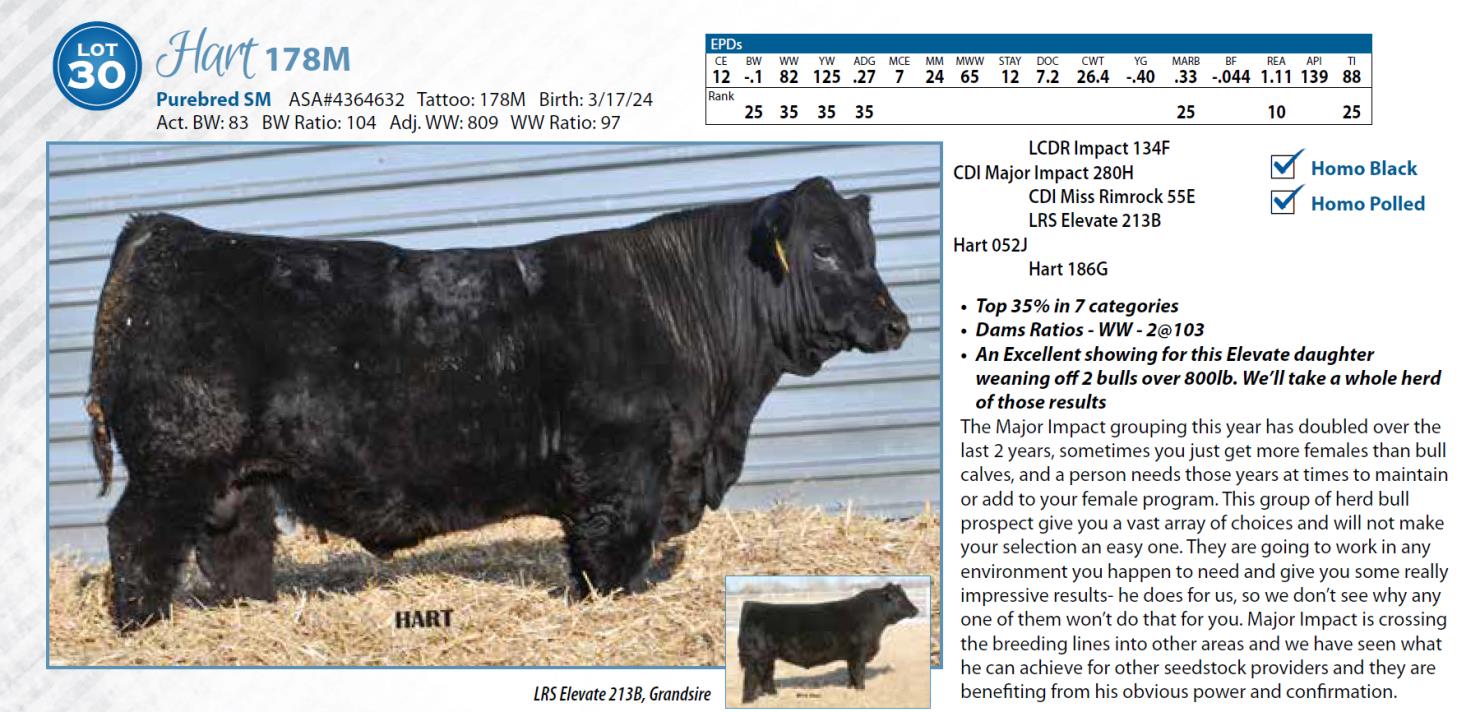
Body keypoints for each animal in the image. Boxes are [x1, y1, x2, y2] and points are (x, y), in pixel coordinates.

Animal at [85, 176, 911, 631]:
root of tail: (166, 231)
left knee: (235, 547)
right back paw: (142, 629)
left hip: (235, 474)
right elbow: (609, 559)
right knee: (138, 537)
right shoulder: (619, 471)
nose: (897, 324)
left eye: (869, 249)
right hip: (174, 460)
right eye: (823, 251)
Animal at [737, 582, 920, 702]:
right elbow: (859, 673)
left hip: (768, 657)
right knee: (751, 677)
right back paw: (749, 701)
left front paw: (851, 690)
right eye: (899, 598)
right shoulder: (860, 652)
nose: (916, 610)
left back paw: (773, 696)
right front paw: (862, 691)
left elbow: (851, 673)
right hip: (756, 655)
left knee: (767, 676)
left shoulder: (851, 656)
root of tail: (751, 604)